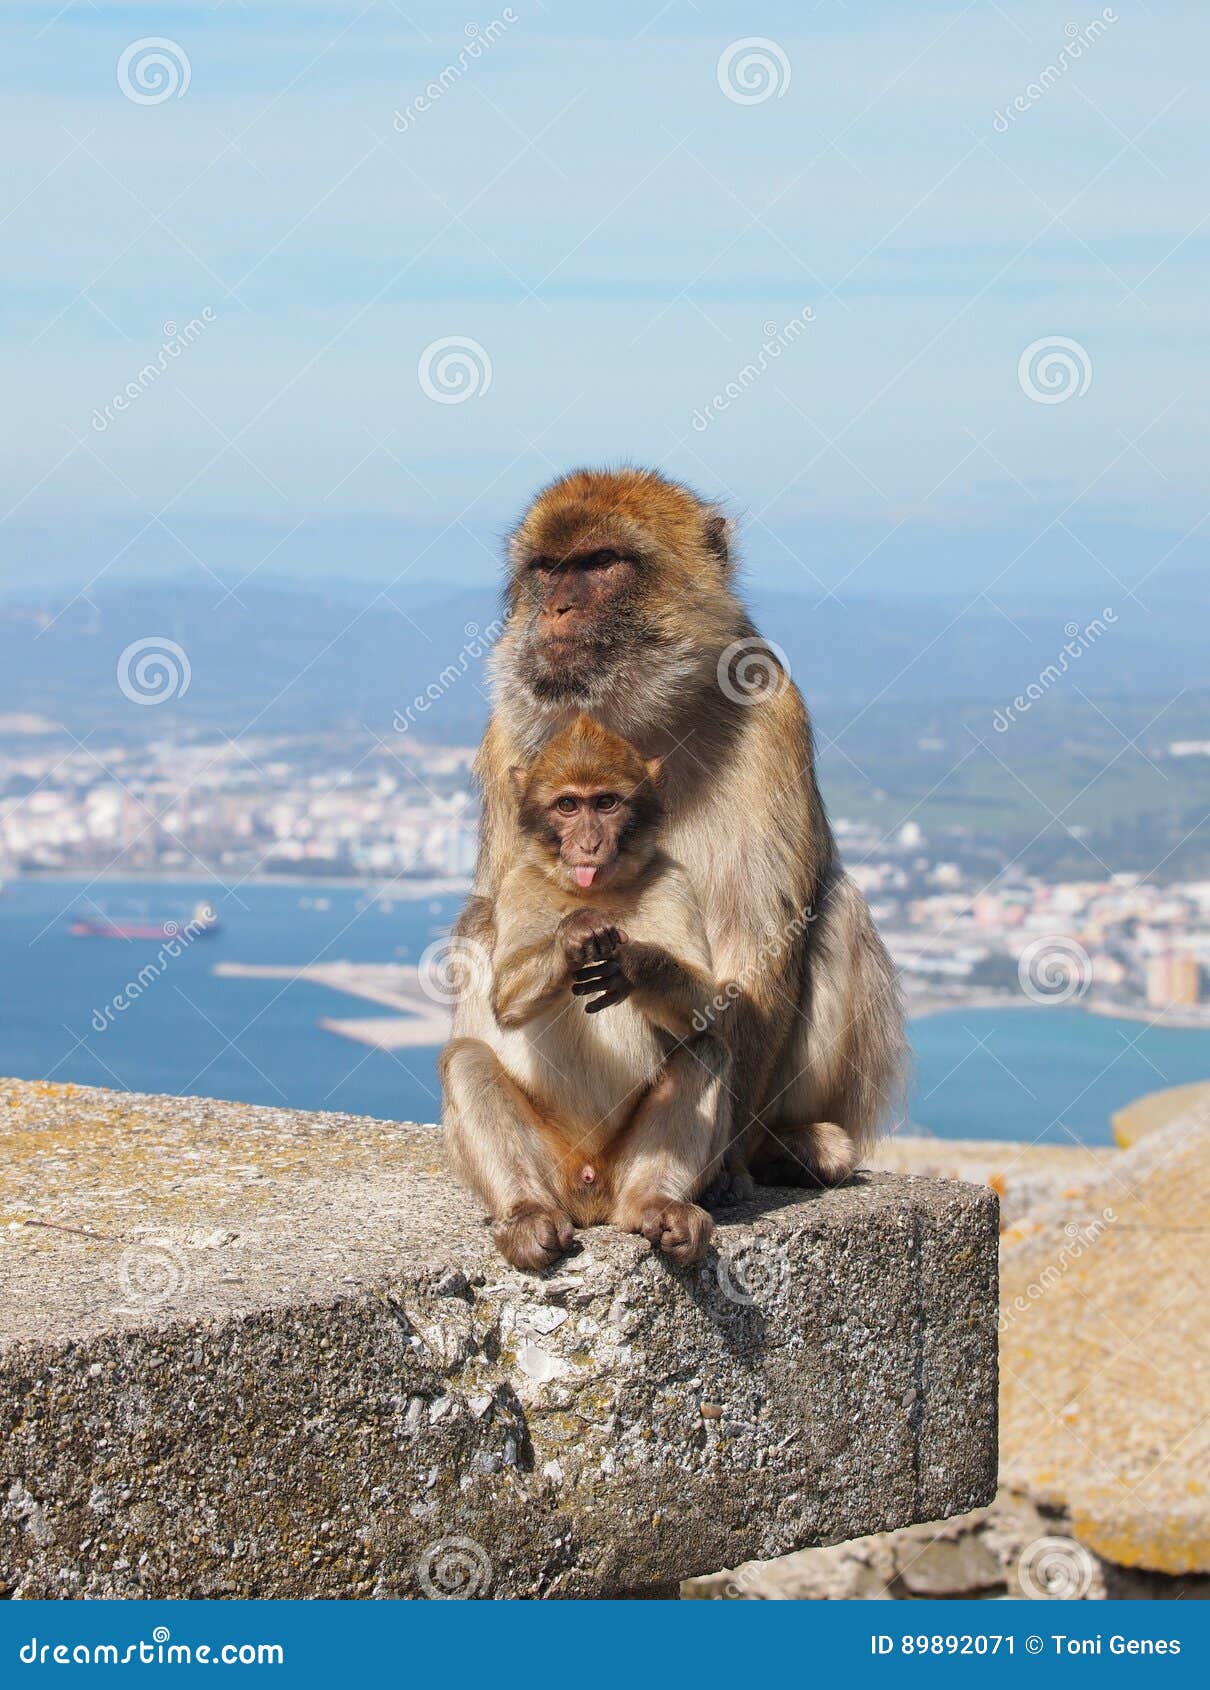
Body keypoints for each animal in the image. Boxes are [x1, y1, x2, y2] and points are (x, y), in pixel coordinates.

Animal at [440, 714, 730, 1272]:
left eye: (607, 803)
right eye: (568, 806)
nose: (590, 844)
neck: (595, 890)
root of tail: (589, 1190)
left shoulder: (672, 881)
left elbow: (708, 1008)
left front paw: (635, 963)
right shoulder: (521, 884)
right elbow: (506, 995)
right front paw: (575, 938)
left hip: (623, 1165)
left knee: (707, 1048)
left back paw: (656, 1204)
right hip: (553, 1165)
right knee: (467, 1059)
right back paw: (527, 1215)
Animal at [443, 466, 906, 1215]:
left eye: (600, 563)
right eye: (547, 567)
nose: (556, 610)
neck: (629, 721)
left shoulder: (769, 711)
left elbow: (757, 934)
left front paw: (719, 1172)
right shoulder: (509, 739)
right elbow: (504, 912)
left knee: (833, 910)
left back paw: (789, 1147)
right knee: (481, 923)